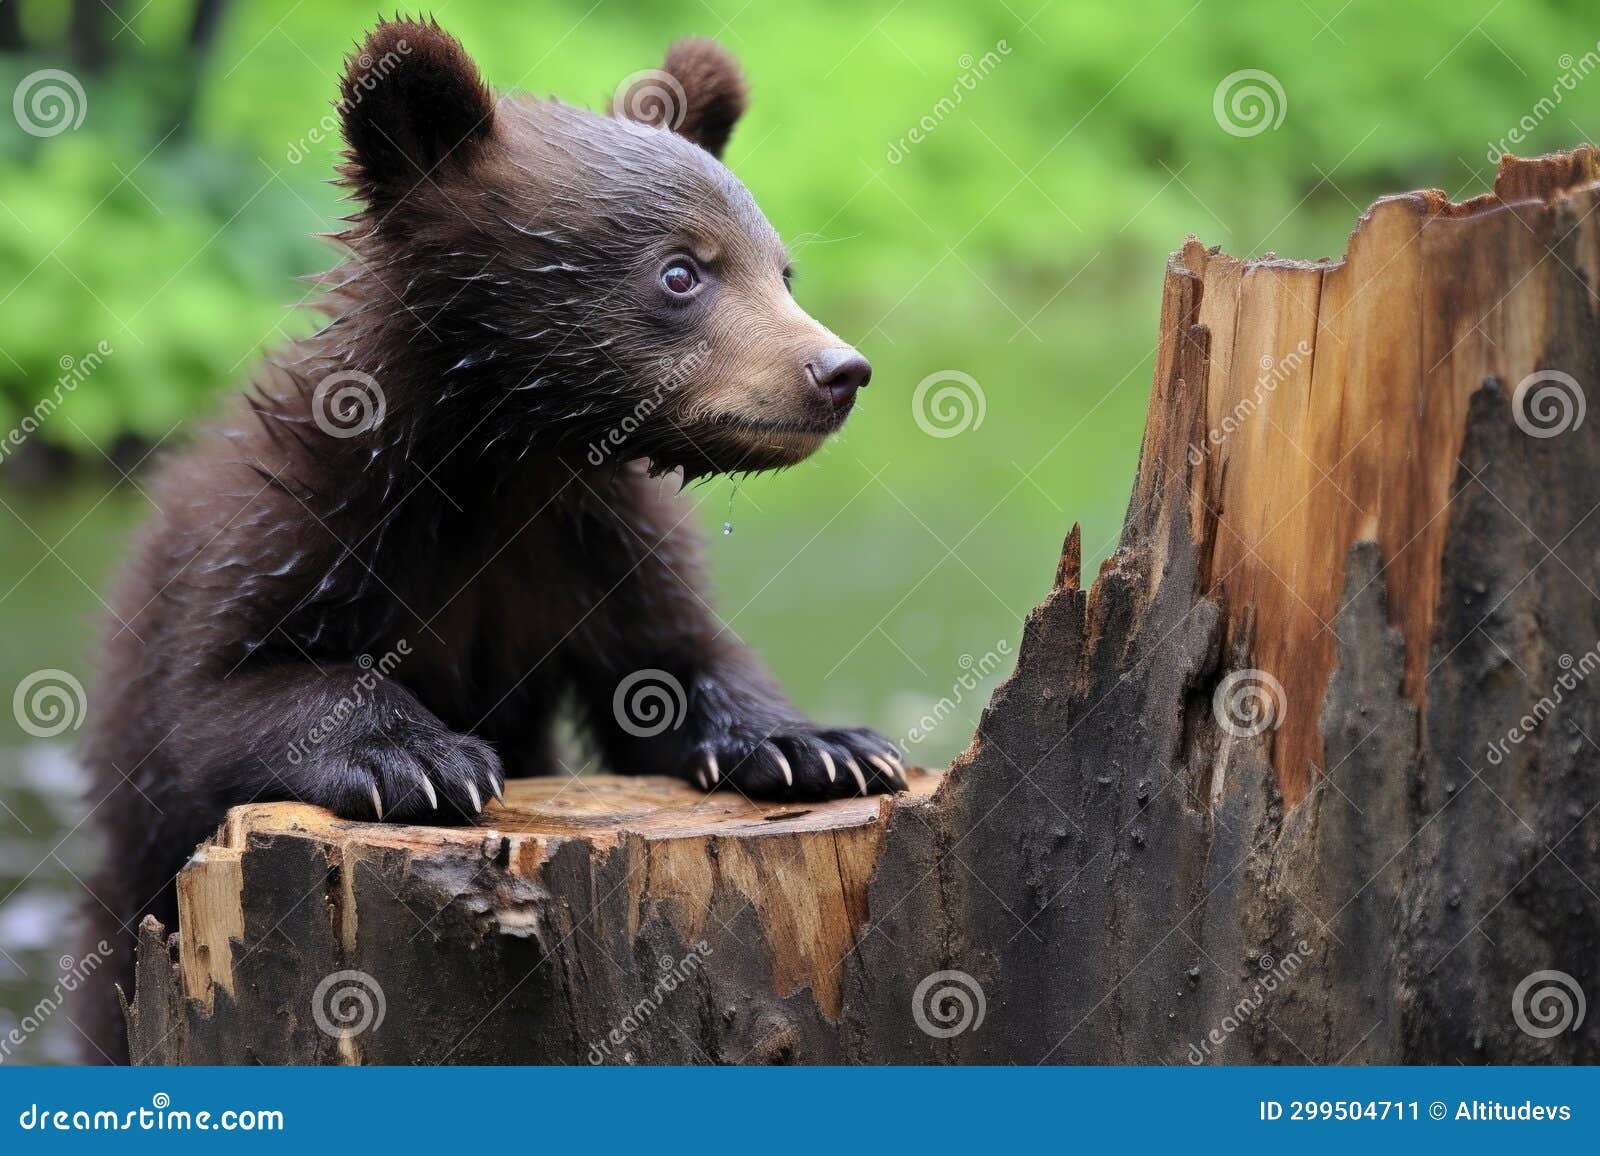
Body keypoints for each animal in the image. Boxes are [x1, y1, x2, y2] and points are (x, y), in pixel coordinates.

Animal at [79, 17, 905, 1063]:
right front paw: (414, 759)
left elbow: (672, 660)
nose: (838, 370)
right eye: (682, 269)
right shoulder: (297, 527)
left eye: (781, 267)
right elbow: (222, 694)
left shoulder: (595, 544)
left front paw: (820, 745)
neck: (506, 465)